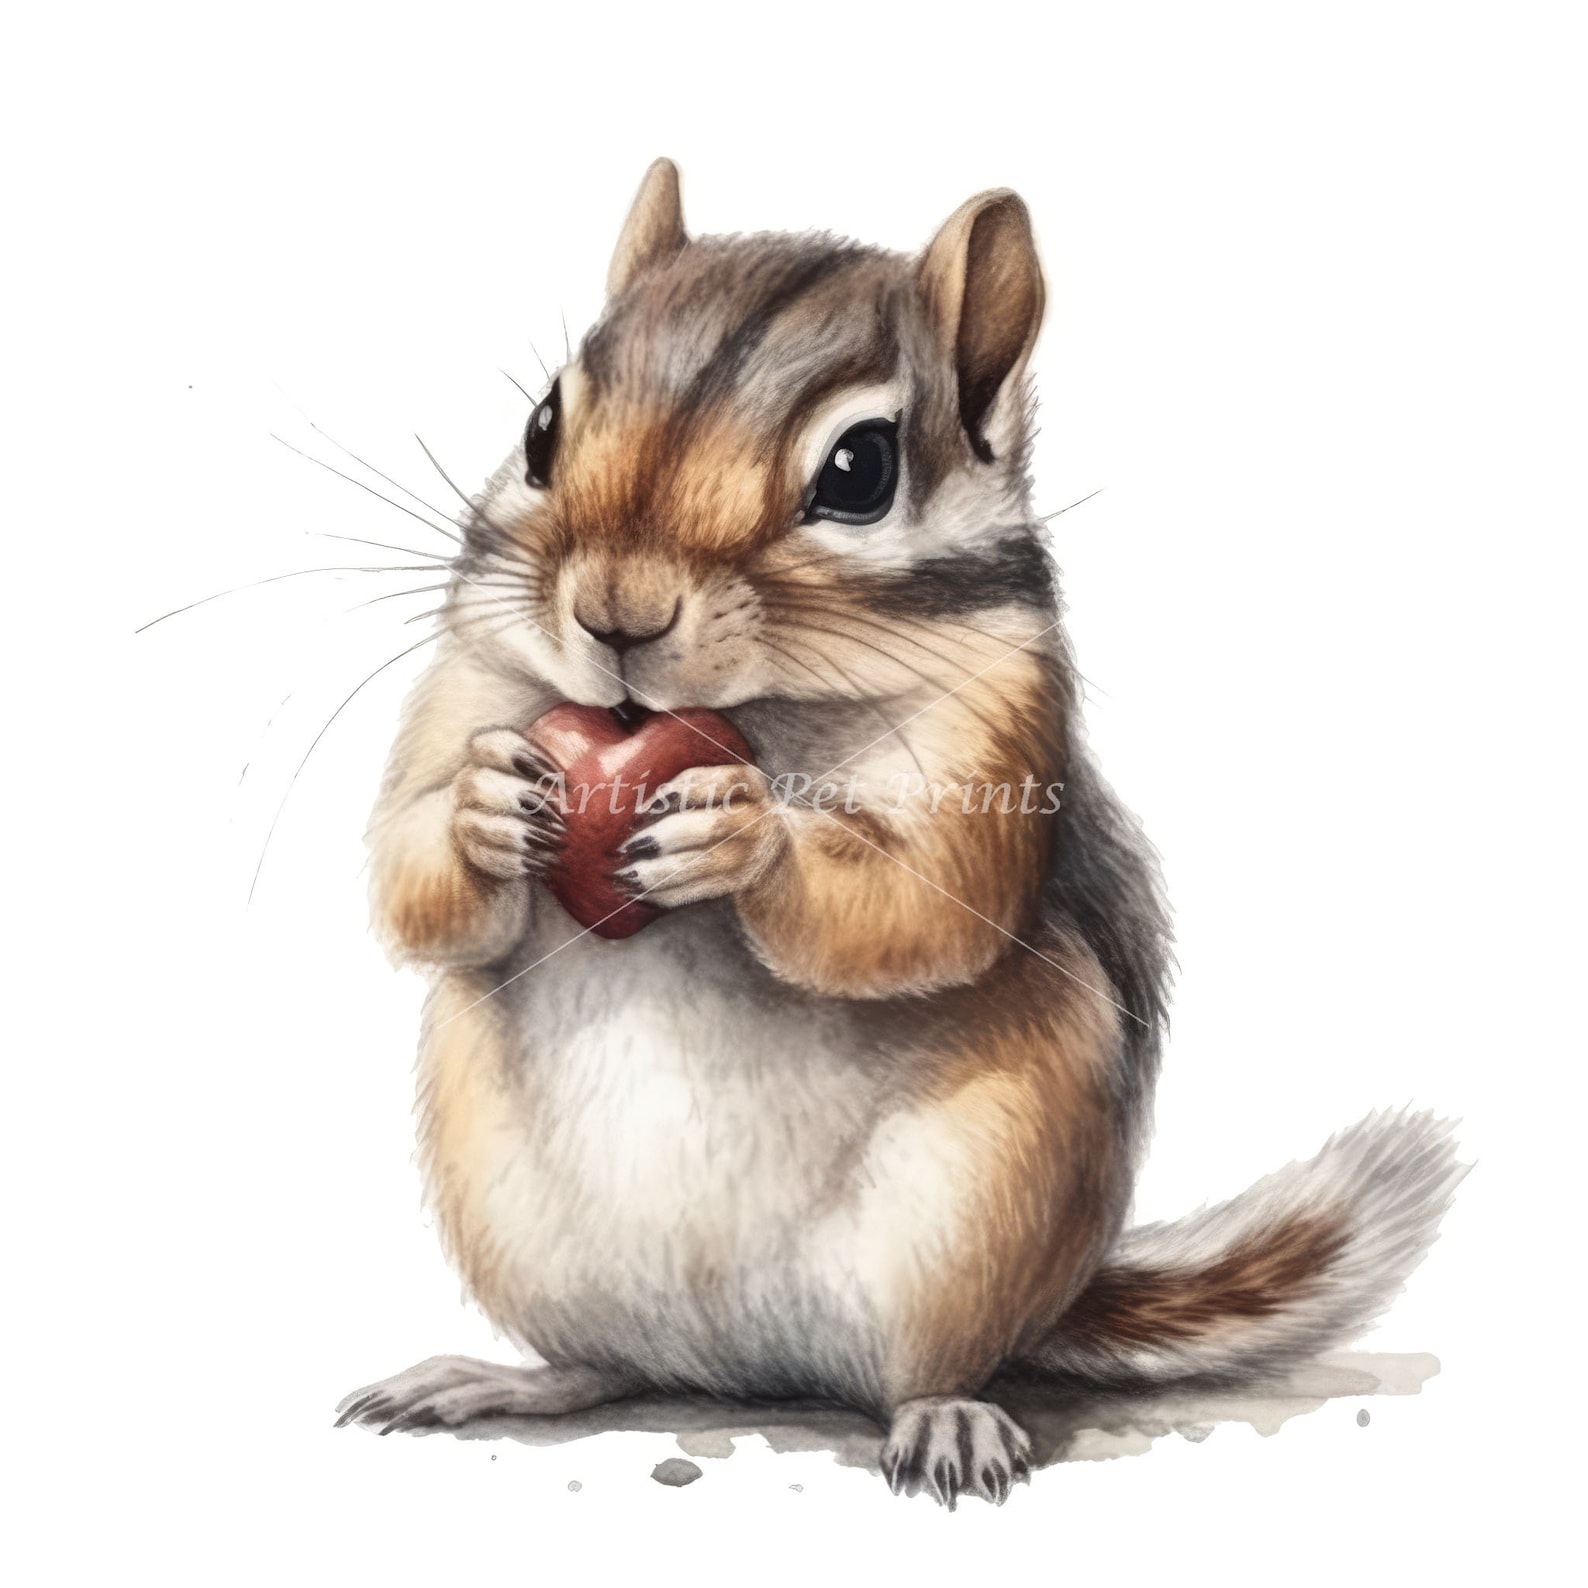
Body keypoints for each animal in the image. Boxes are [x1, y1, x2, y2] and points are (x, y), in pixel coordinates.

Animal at [336, 159, 1464, 1507]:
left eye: (861, 468)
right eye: (542, 428)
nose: (616, 611)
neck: (761, 712)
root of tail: (745, 1370)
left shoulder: (1002, 728)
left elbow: (919, 906)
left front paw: (746, 834)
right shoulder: (468, 677)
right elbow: (402, 875)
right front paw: (482, 806)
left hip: (972, 1218)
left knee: (931, 1362)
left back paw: (947, 1420)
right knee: (604, 1360)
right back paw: (495, 1379)